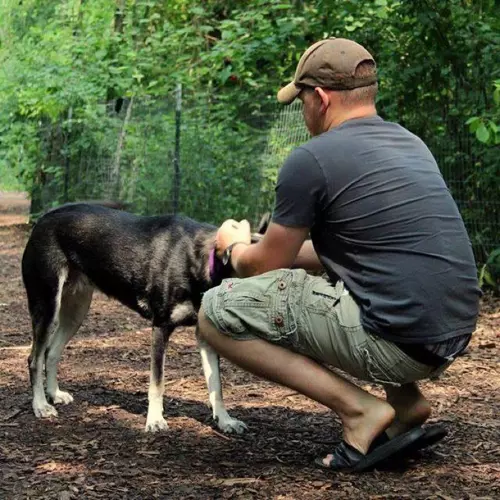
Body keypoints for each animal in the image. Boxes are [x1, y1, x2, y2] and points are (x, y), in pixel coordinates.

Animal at [22, 203, 270, 434]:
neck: (202, 261)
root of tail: (43, 219)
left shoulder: (205, 336)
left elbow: (216, 385)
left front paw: (225, 420)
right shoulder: (160, 327)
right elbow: (157, 383)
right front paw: (155, 420)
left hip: (76, 311)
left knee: (51, 352)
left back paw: (54, 394)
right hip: (48, 306)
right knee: (35, 359)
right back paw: (40, 405)